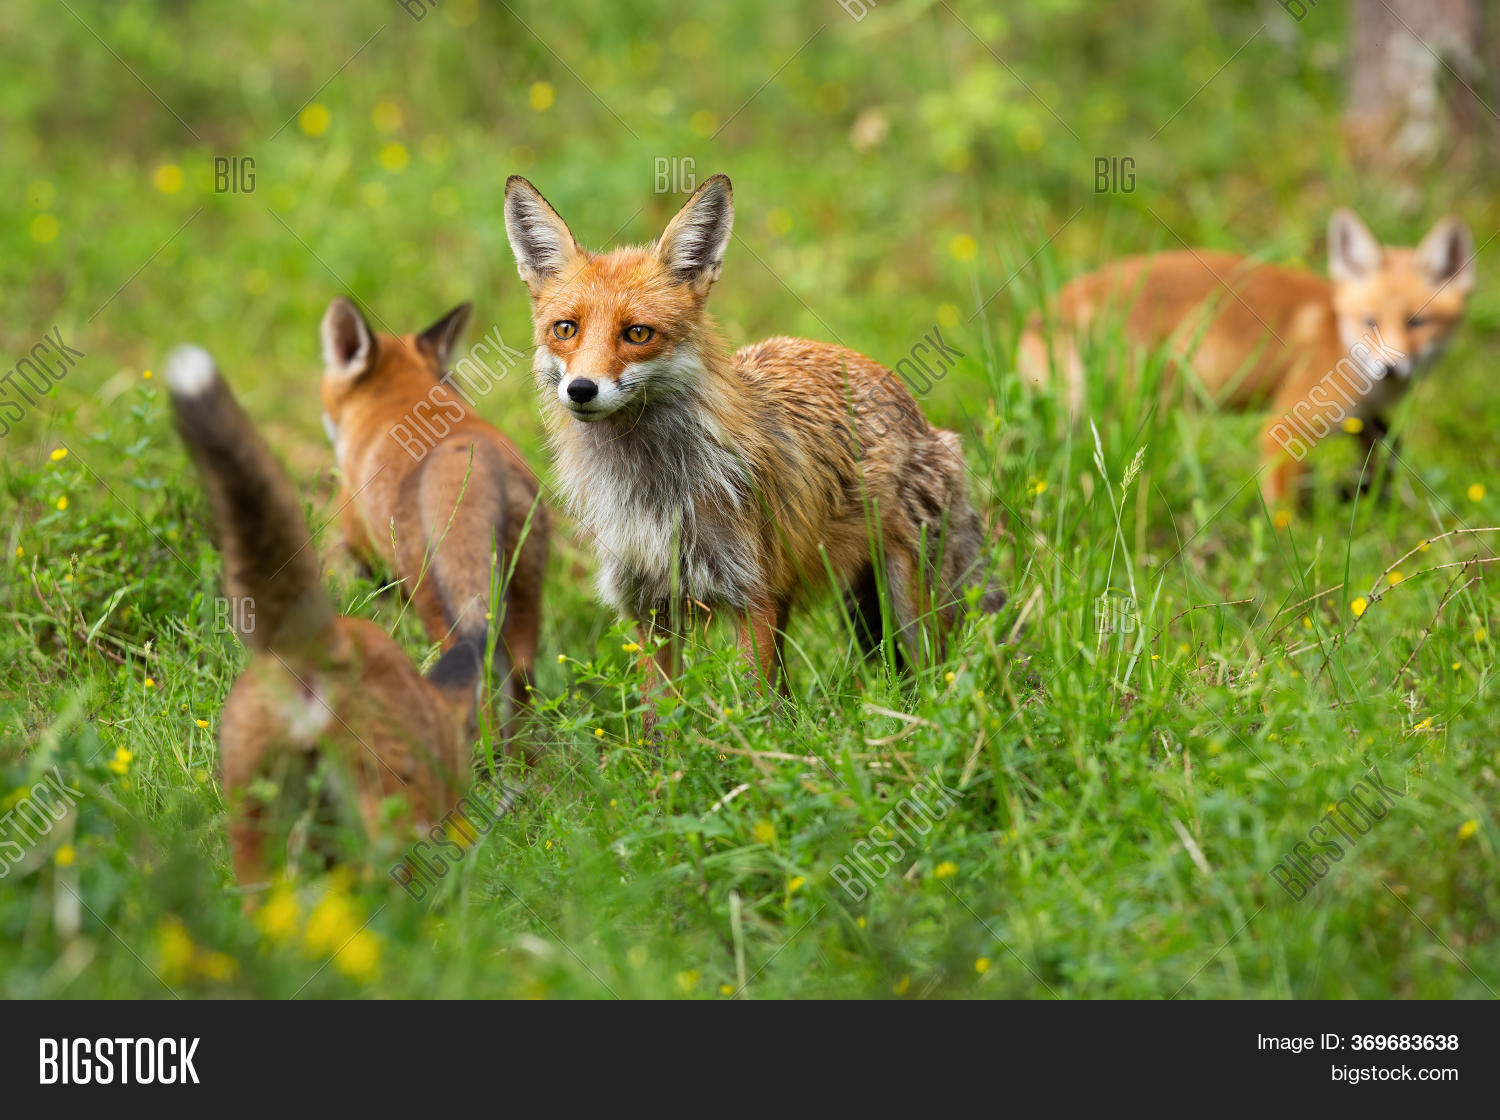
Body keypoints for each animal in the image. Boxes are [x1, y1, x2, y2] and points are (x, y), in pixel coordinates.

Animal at [318, 297, 548, 747]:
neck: (401, 393)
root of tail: (473, 458)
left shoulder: (362, 538)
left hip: (440, 609)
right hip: (524, 604)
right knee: (520, 690)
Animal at [502, 172, 1004, 711]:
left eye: (637, 333)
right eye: (565, 329)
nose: (581, 389)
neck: (652, 490)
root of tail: (912, 407)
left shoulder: (751, 594)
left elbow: (753, 711)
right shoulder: (651, 606)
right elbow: (659, 720)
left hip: (908, 604)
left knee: (932, 676)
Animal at [1017, 209, 1475, 507]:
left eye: (1418, 322)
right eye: (1371, 321)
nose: (1392, 368)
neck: (1336, 331)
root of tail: (1057, 302)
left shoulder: (1365, 420)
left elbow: (1386, 454)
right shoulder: (1286, 423)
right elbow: (1282, 507)